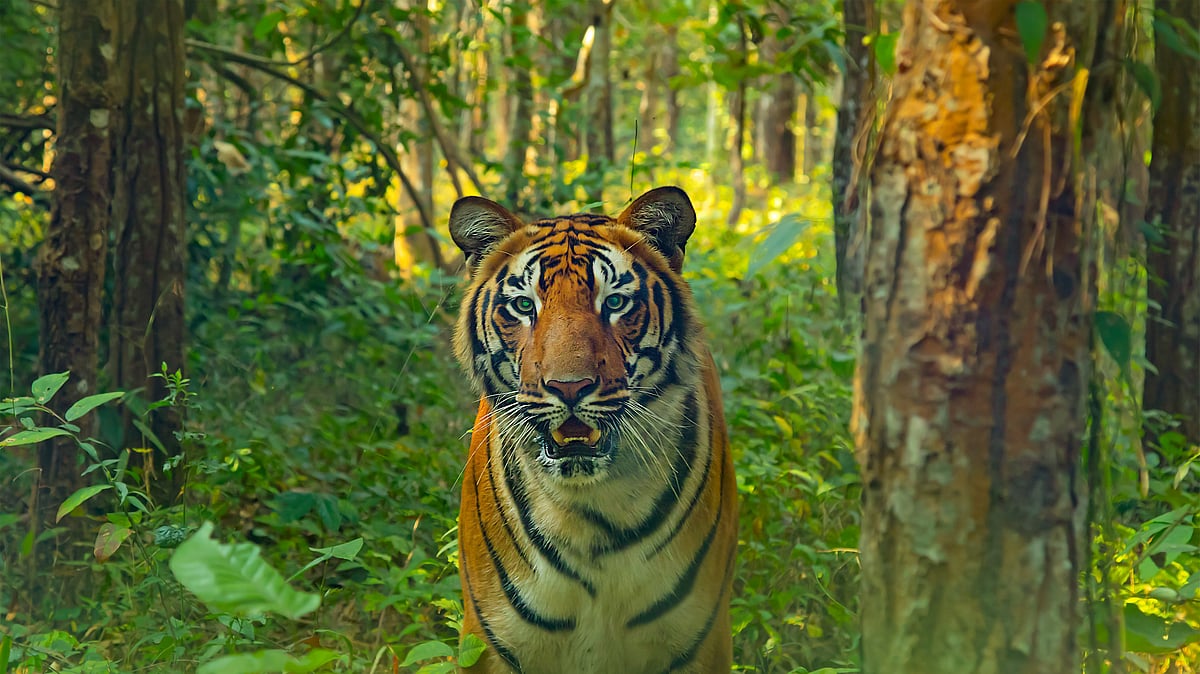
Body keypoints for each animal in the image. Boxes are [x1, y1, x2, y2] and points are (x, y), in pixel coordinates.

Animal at [448, 186, 738, 674]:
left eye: (615, 303)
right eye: (524, 305)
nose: (569, 386)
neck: (590, 514)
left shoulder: (698, 641)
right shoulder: (491, 644)